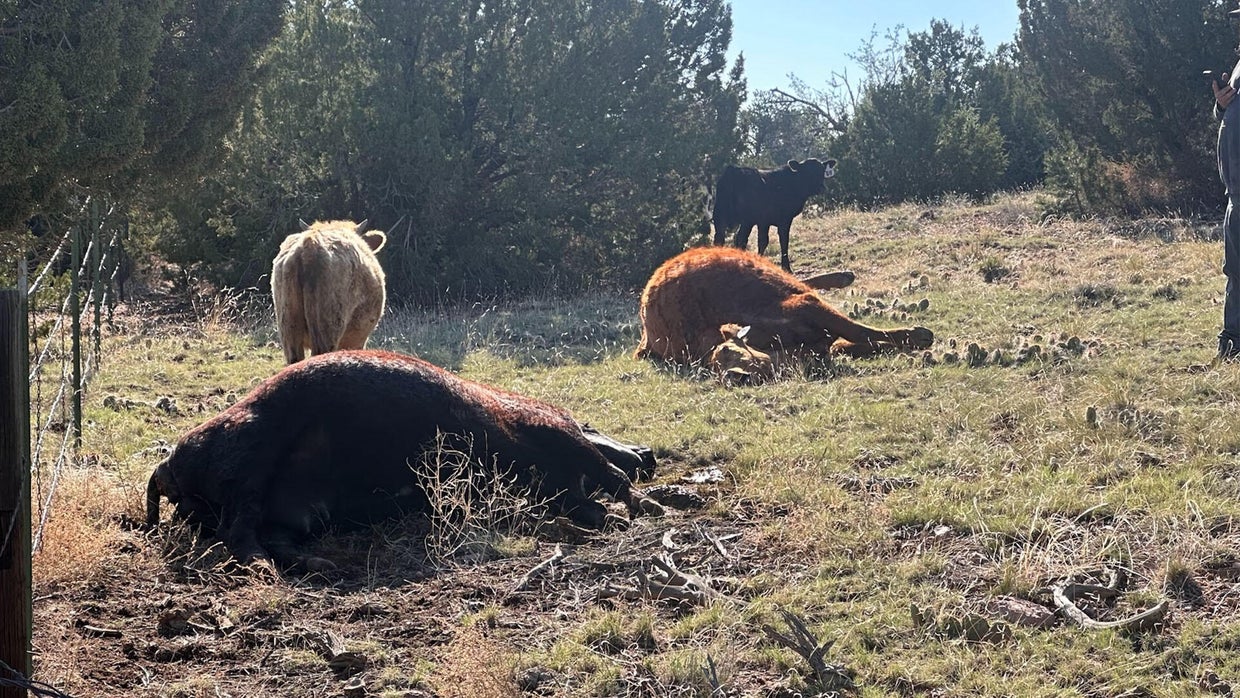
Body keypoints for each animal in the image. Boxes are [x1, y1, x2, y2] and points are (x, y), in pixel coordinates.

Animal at [144, 350, 664, 572]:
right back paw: (267, 569)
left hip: (287, 510)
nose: (651, 455)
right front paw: (645, 509)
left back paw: (322, 564)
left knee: (269, 536)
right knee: (239, 535)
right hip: (248, 458)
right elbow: (609, 476)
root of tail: (169, 465)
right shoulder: (554, 433)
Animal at [634, 246, 934, 371]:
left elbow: (859, 331)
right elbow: (856, 340)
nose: (738, 376)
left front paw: (920, 335)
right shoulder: (812, 317)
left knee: (802, 279)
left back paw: (843, 276)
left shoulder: (806, 305)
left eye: (732, 351)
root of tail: (645, 340)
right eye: (723, 358)